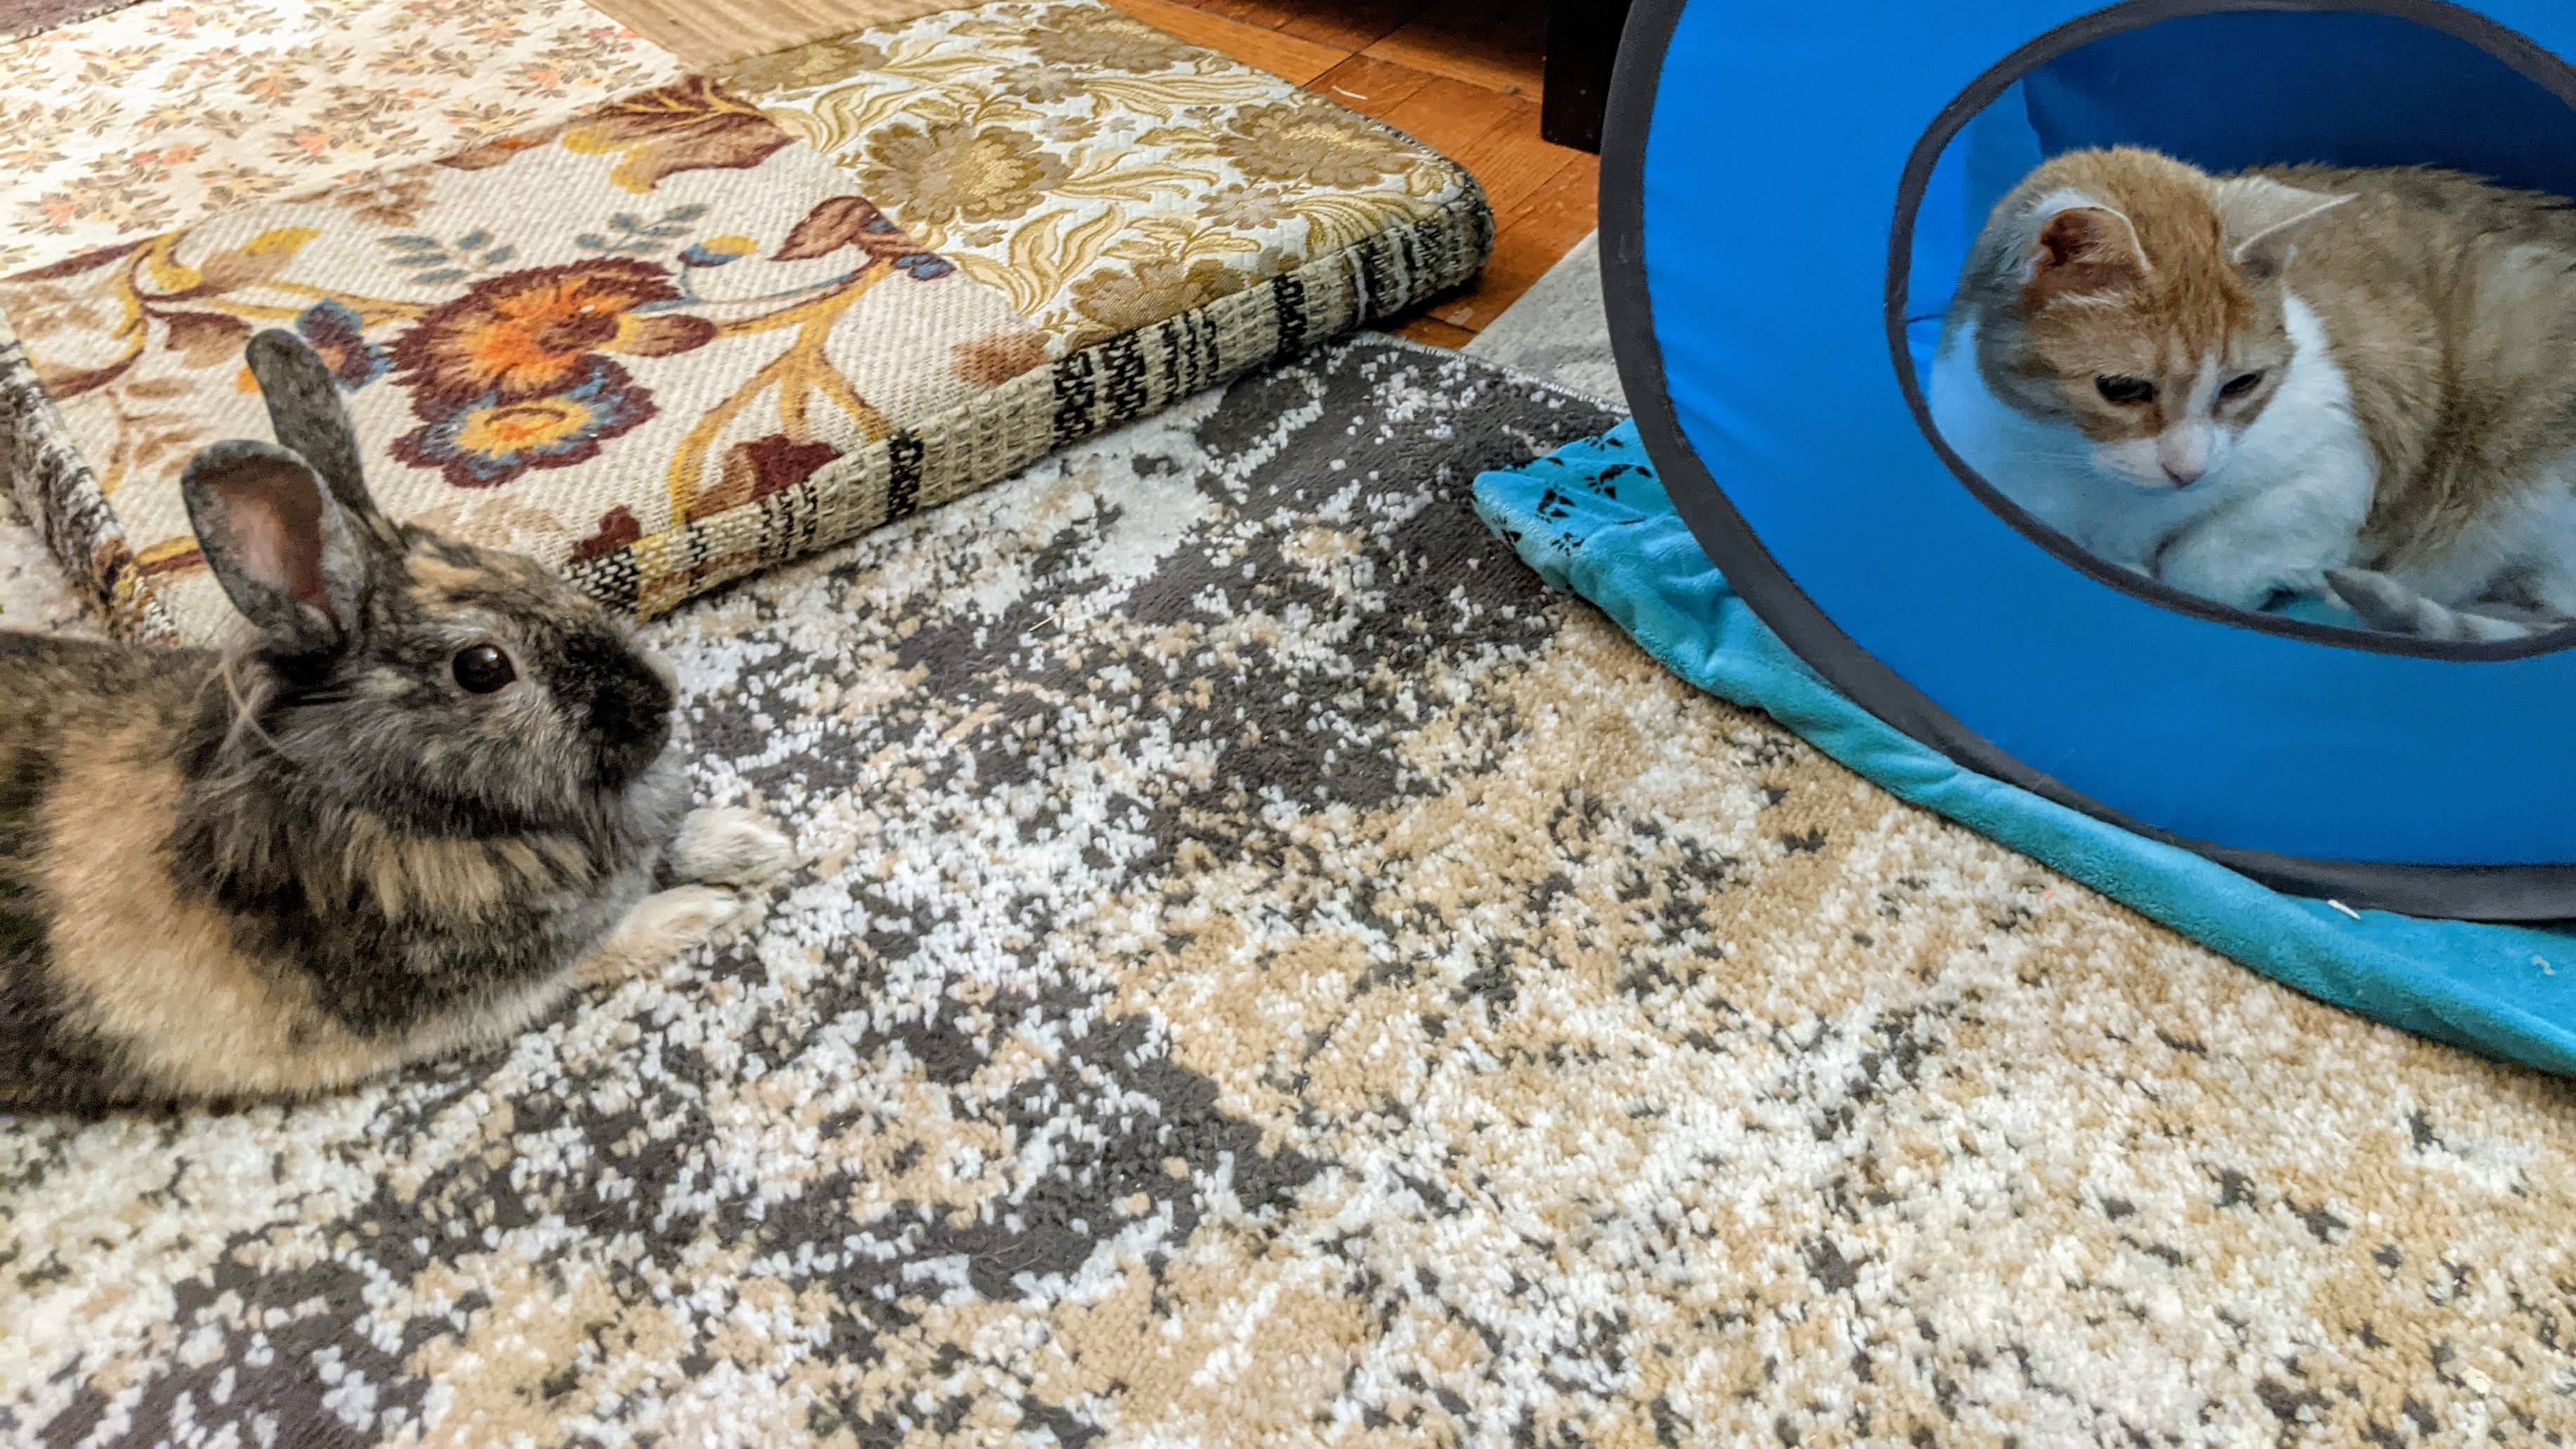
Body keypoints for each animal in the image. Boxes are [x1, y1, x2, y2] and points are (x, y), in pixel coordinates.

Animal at [0, 329, 793, 1111]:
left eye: (528, 566)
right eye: (483, 667)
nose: (658, 700)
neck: (386, 805)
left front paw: (749, 841)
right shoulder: (494, 989)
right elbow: (605, 948)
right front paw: (703, 909)